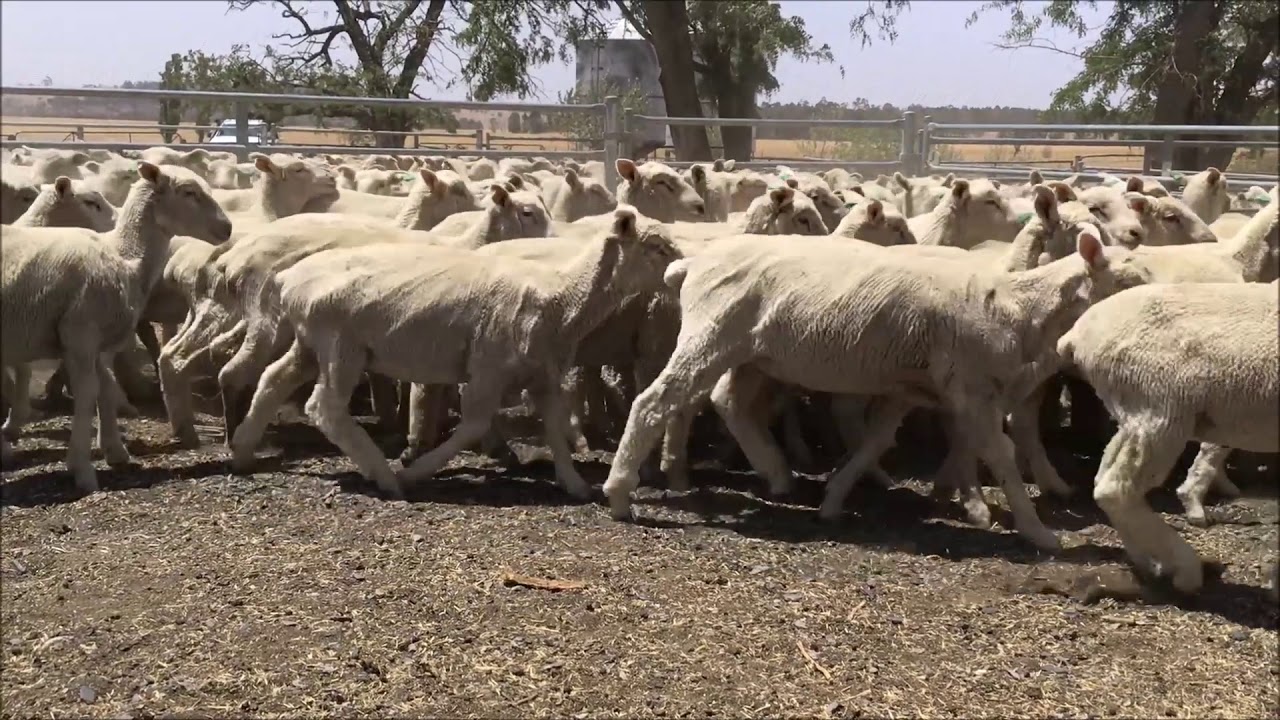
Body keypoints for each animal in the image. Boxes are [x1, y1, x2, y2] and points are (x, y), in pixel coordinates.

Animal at [0, 163, 232, 489]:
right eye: (189, 192)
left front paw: (115, 451)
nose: (228, 228)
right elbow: (87, 393)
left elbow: (107, 388)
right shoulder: (80, 333)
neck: (125, 257)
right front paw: (82, 469)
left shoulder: (98, 341)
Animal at [228, 206, 681, 500]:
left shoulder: (543, 372)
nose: (684, 267)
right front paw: (416, 472)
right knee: (325, 408)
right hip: (342, 346)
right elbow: (474, 424)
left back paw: (242, 450)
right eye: (657, 247)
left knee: (272, 380)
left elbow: (553, 426)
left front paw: (576, 484)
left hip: (310, 344)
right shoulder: (488, 368)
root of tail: (288, 279)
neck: (559, 296)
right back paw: (385, 477)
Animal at [602, 224, 1151, 551]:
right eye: (1127, 283)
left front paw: (833, 500)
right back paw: (619, 491)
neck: (1018, 307)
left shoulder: (912, 389)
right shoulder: (972, 389)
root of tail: (691, 263)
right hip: (712, 333)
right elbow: (1002, 454)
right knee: (654, 402)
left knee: (728, 401)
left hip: (752, 352)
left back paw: (777, 474)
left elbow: (875, 442)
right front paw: (1038, 532)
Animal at [1057, 281, 1278, 594]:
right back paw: (1185, 570)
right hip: (1159, 409)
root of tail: (1077, 334)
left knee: (1104, 479)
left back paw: (1149, 563)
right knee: (1116, 490)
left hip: (1134, 414)